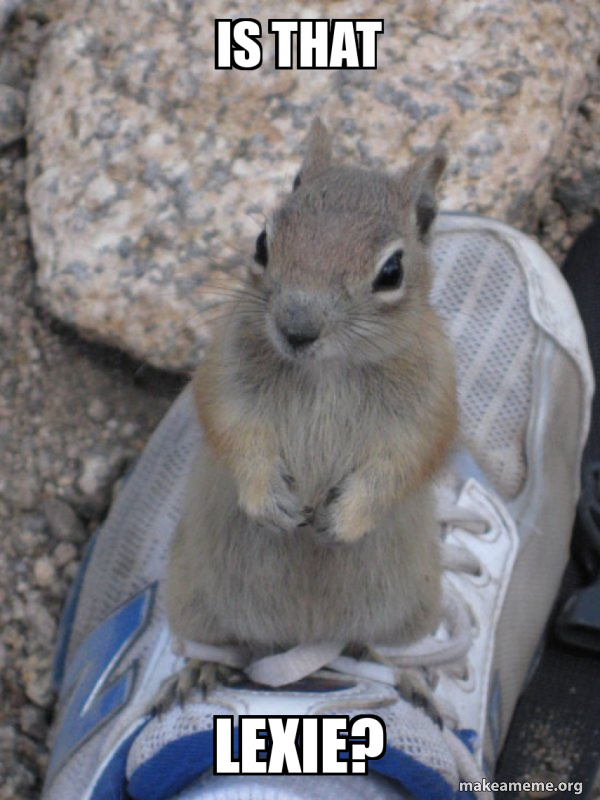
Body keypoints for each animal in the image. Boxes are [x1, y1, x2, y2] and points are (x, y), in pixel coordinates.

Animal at [161, 118, 458, 707]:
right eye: (262, 241)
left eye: (392, 271)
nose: (296, 328)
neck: (327, 369)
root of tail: (307, 633)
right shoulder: (226, 378)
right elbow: (237, 435)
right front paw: (268, 500)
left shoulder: (428, 408)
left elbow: (400, 464)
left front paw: (345, 519)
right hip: (191, 597)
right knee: (227, 646)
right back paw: (199, 671)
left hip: (412, 609)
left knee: (370, 645)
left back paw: (406, 678)